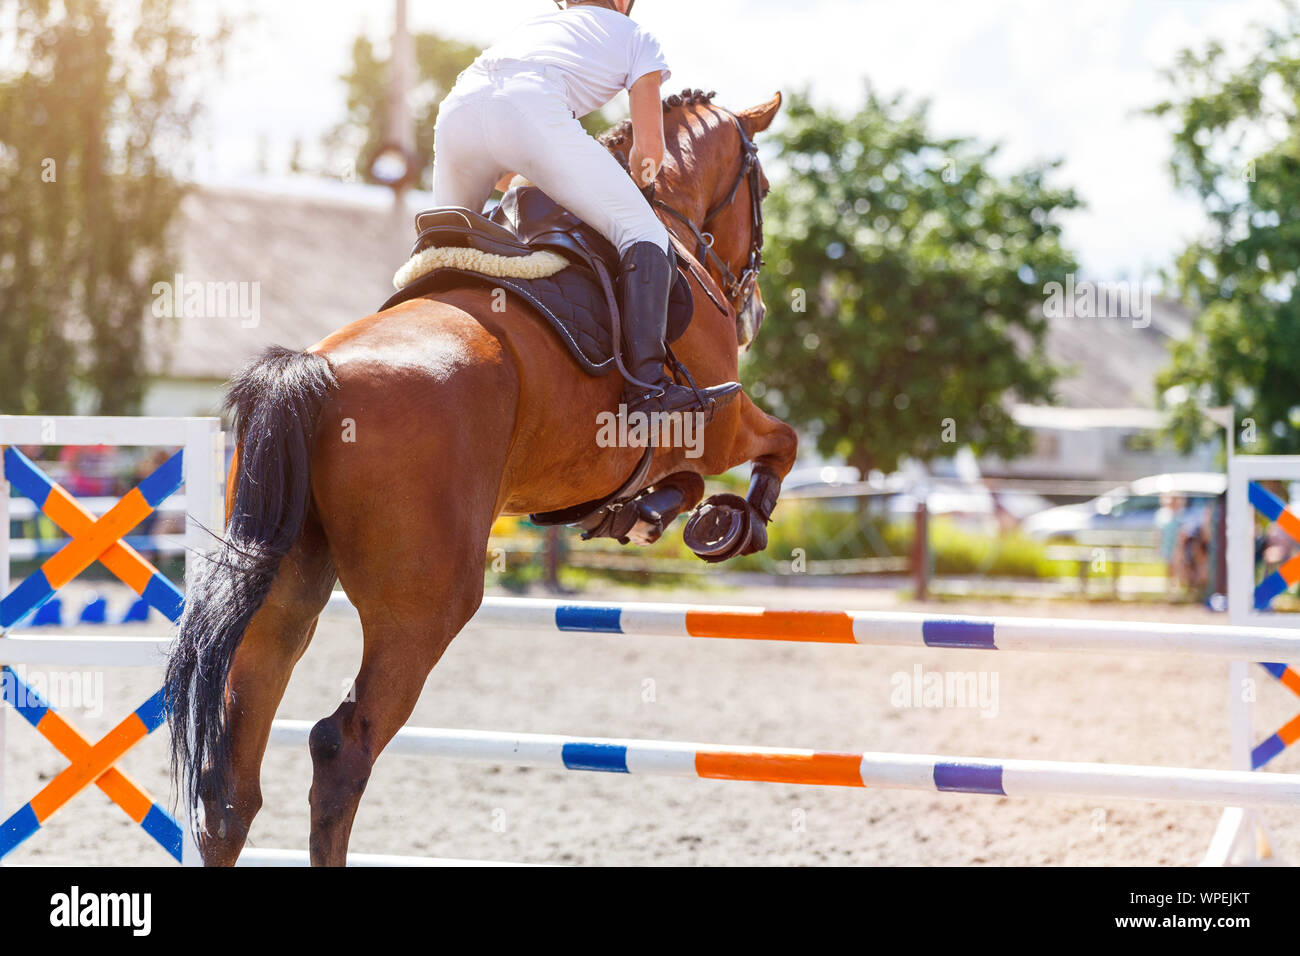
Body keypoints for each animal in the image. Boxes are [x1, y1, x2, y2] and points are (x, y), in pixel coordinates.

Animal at [166, 89, 798, 865]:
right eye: (763, 187)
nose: (753, 309)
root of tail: (315, 370)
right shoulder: (720, 420)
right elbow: (780, 443)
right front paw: (737, 524)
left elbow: (682, 484)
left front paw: (647, 514)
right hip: (426, 605)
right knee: (342, 748)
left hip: (285, 588)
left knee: (234, 782)